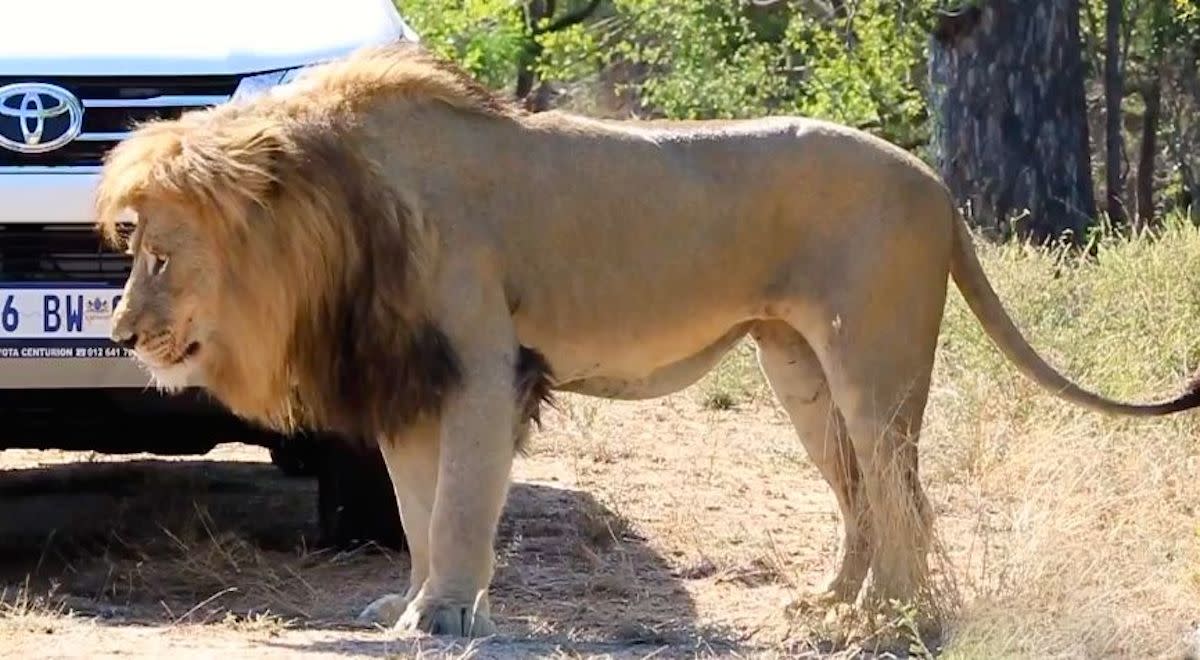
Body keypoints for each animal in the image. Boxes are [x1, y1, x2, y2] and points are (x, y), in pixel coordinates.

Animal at [94, 42, 1200, 637]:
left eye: (159, 253)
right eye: (132, 241)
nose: (119, 329)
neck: (335, 217)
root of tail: (939, 186)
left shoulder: (483, 368)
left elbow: (458, 509)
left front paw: (445, 617)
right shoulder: (413, 381)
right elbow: (414, 509)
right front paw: (406, 608)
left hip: (871, 365)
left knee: (904, 496)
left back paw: (882, 624)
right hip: (799, 371)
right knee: (863, 495)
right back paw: (829, 604)